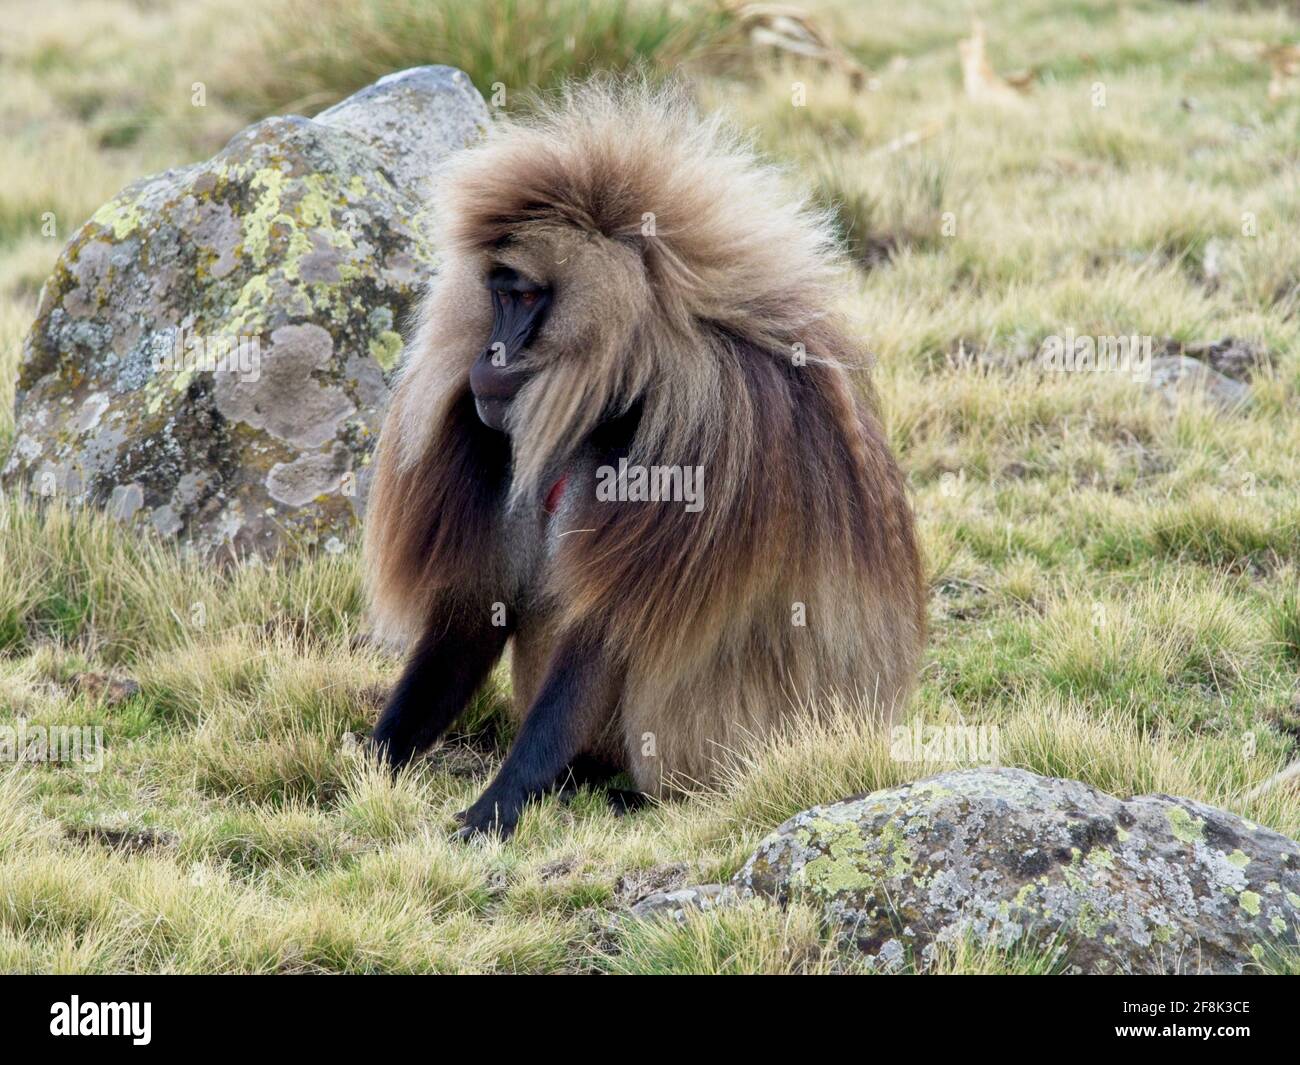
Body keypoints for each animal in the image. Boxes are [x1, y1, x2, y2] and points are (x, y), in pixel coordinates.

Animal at [363, 79, 926, 839]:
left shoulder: (695, 444)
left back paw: (637, 794)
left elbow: (605, 637)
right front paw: (373, 758)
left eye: (527, 295)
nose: (489, 358)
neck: (621, 390)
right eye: (497, 292)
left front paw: (496, 804)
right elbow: (478, 611)